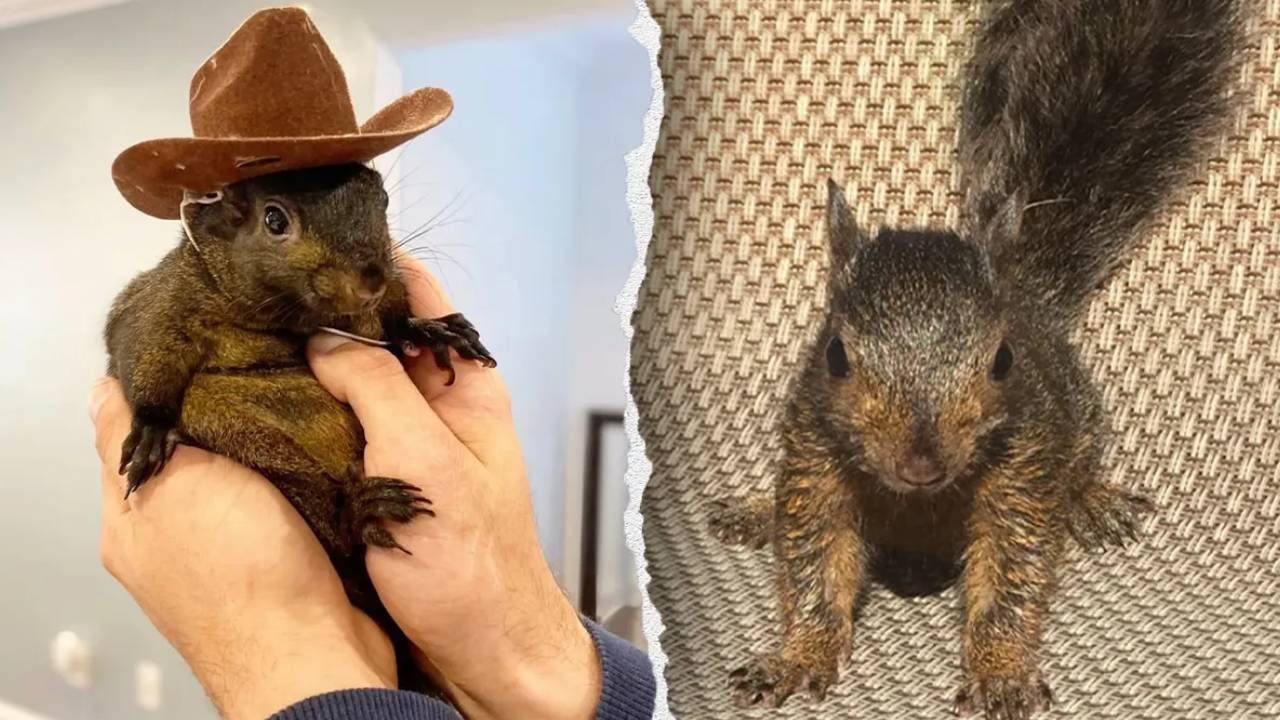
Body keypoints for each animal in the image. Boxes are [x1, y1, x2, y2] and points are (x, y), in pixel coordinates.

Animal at [104, 162, 496, 690]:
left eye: (382, 199)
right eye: (274, 220)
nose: (371, 280)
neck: (291, 318)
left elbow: (395, 321)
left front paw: (431, 330)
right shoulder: (161, 304)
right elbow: (142, 349)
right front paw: (151, 428)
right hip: (248, 440)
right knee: (336, 532)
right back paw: (359, 513)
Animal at [710, 0, 1241, 717]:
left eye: (1003, 360)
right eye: (835, 355)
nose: (921, 463)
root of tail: (1025, 287)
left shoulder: (1022, 474)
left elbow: (1010, 580)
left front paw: (999, 673)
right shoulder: (815, 461)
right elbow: (814, 564)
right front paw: (797, 657)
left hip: (1079, 415)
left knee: (1079, 466)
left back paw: (1092, 500)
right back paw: (755, 510)